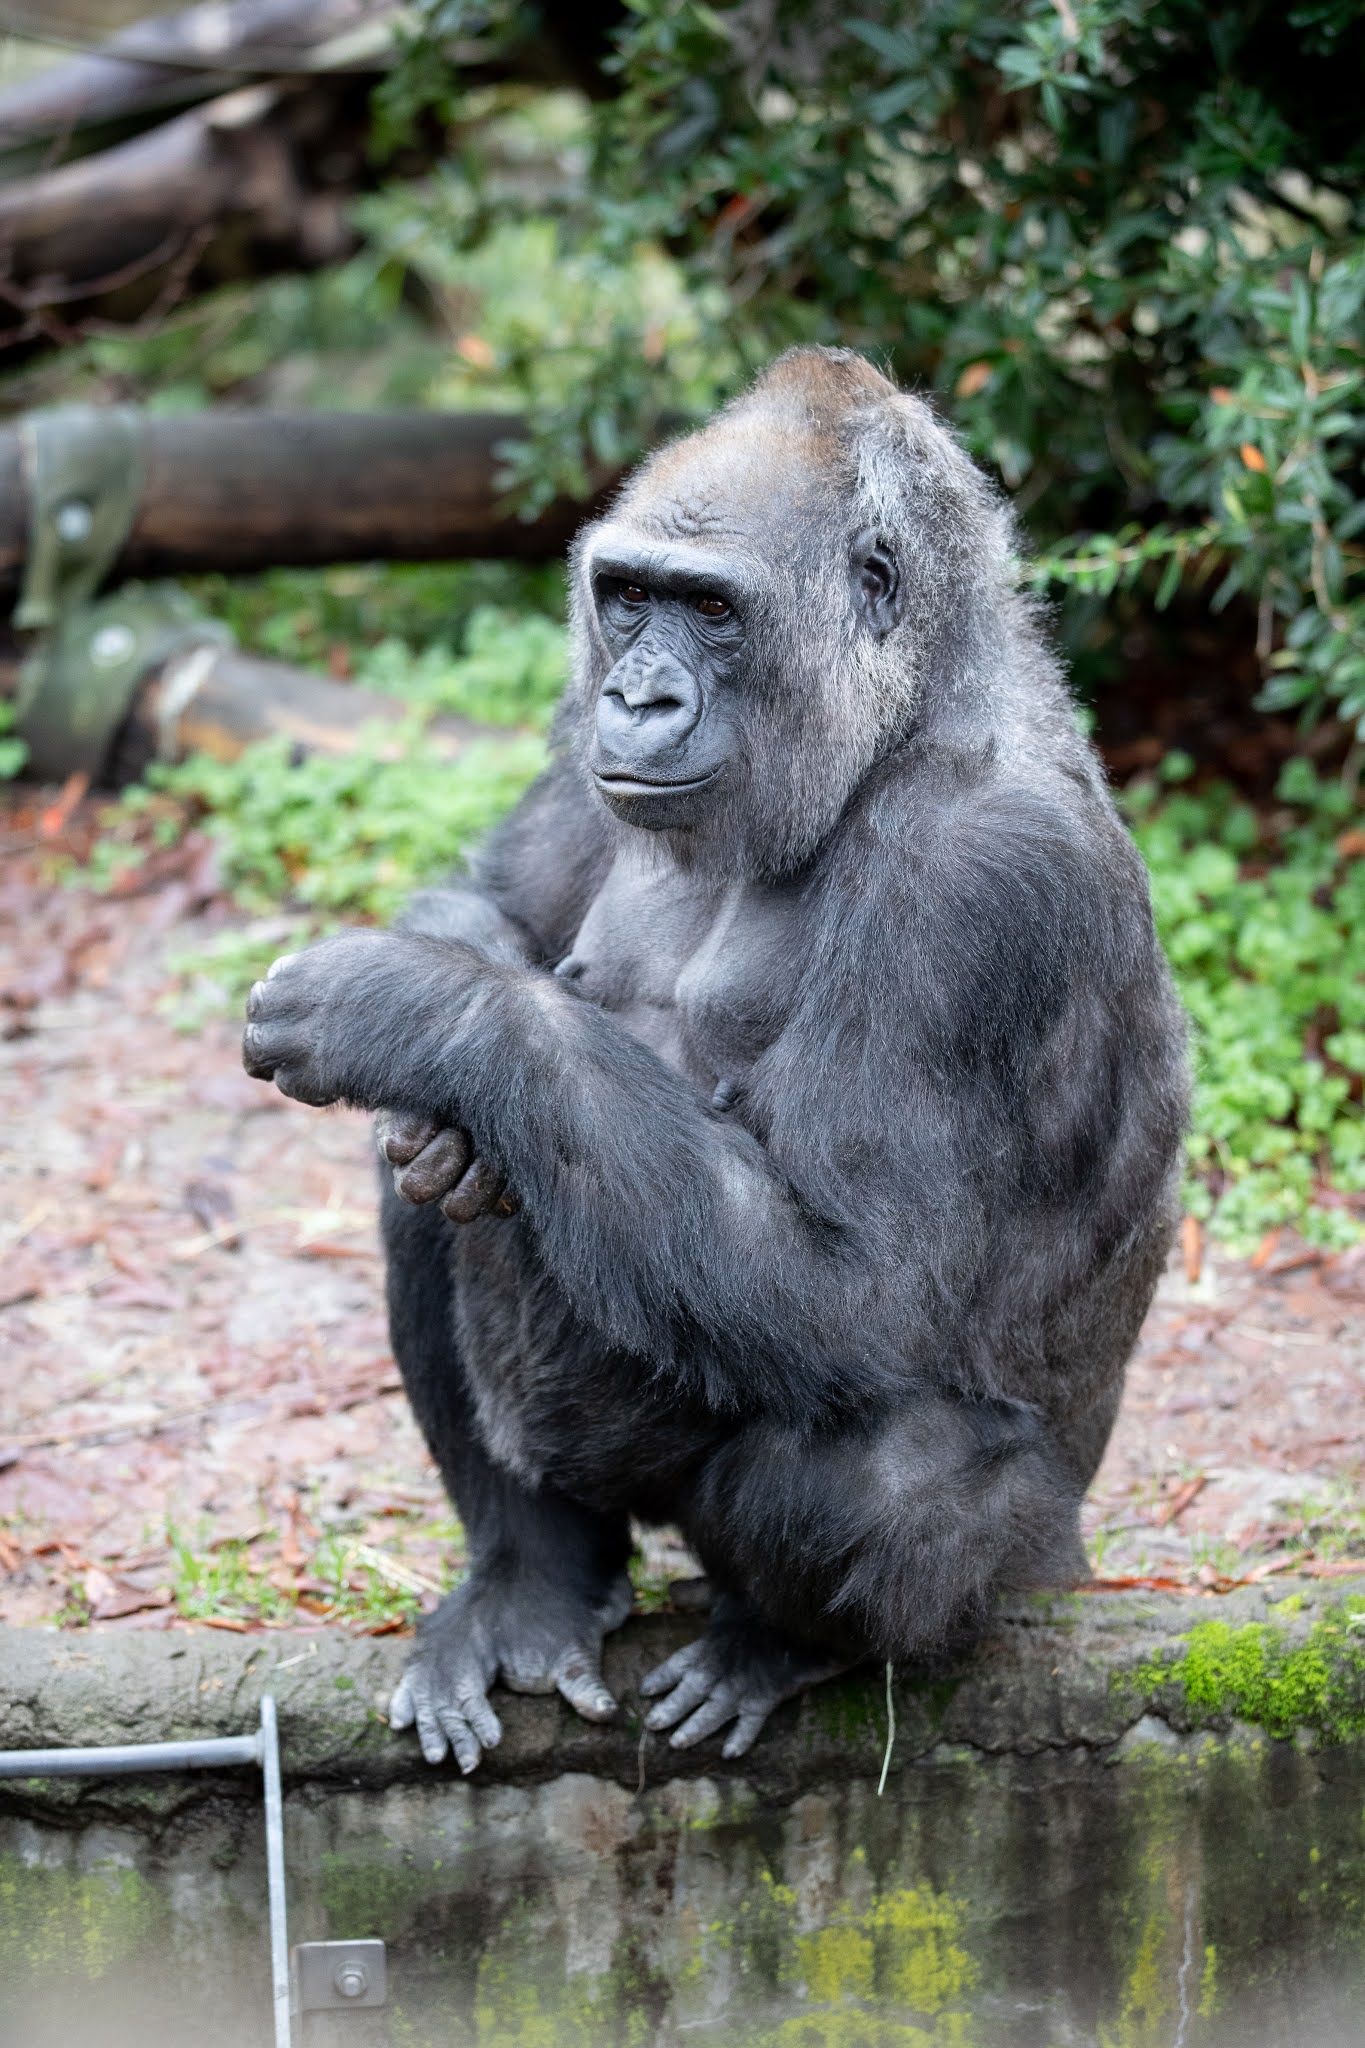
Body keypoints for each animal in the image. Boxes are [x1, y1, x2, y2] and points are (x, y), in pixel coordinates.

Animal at [242, 346, 1188, 1771]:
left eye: (713, 608)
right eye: (630, 599)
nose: (641, 693)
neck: (897, 721)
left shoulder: (984, 876)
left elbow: (863, 1283)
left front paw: (419, 1010)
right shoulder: (578, 741)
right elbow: (494, 899)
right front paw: (456, 1024)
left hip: (1031, 1561)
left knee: (887, 1472)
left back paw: (787, 1645)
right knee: (422, 1201)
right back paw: (530, 1575)